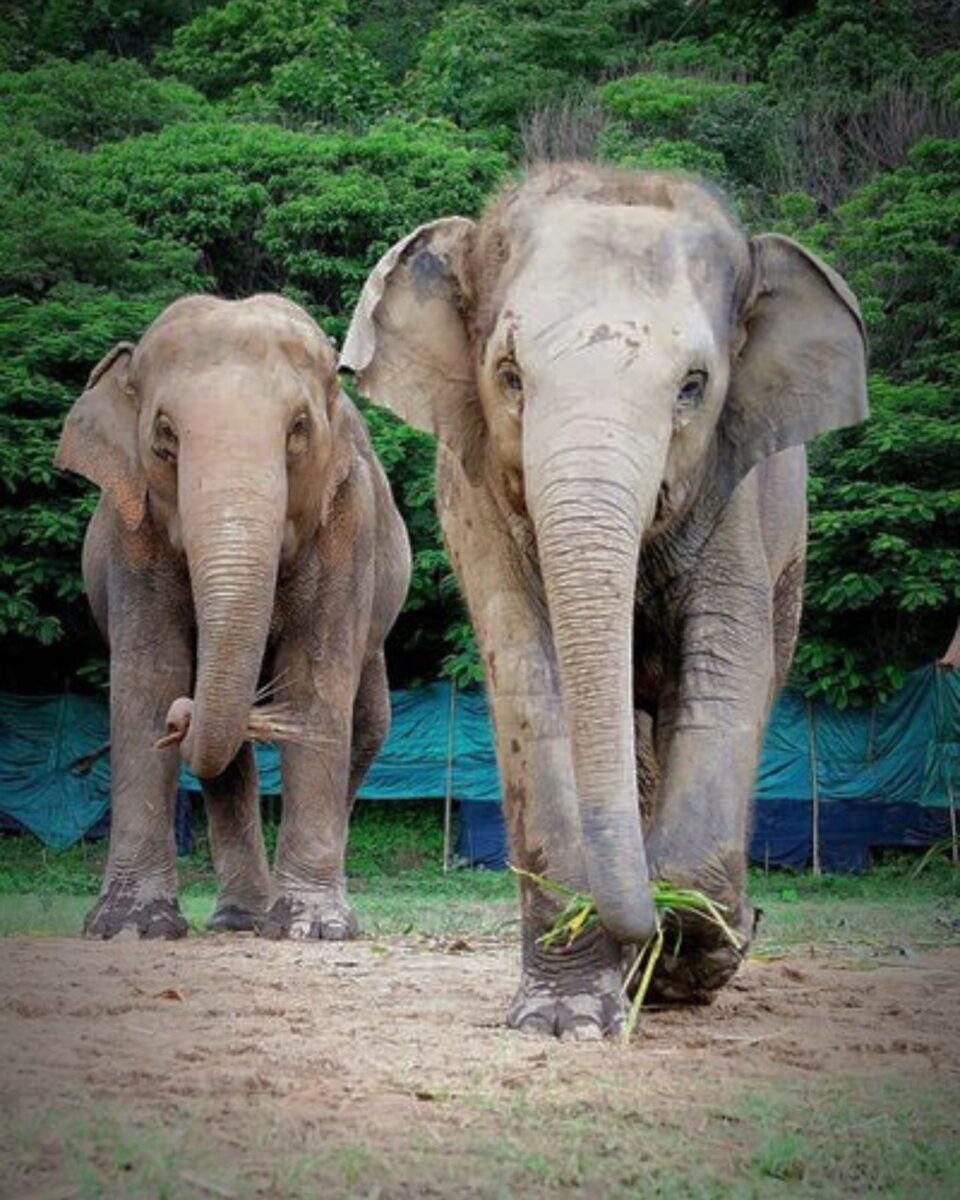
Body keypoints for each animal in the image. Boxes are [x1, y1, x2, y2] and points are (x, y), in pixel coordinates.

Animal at [56, 294, 411, 940]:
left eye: (299, 428)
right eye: (164, 434)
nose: (183, 718)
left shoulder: (348, 525)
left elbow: (314, 683)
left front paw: (313, 928)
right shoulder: (132, 531)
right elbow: (149, 677)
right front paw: (129, 926)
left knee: (368, 725)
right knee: (230, 761)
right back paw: (237, 919)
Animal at [342, 164, 867, 1037]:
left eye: (693, 386)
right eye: (510, 377)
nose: (745, 929)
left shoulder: (734, 498)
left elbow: (726, 672)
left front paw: (692, 950)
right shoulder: (479, 501)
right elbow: (528, 680)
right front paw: (570, 1017)